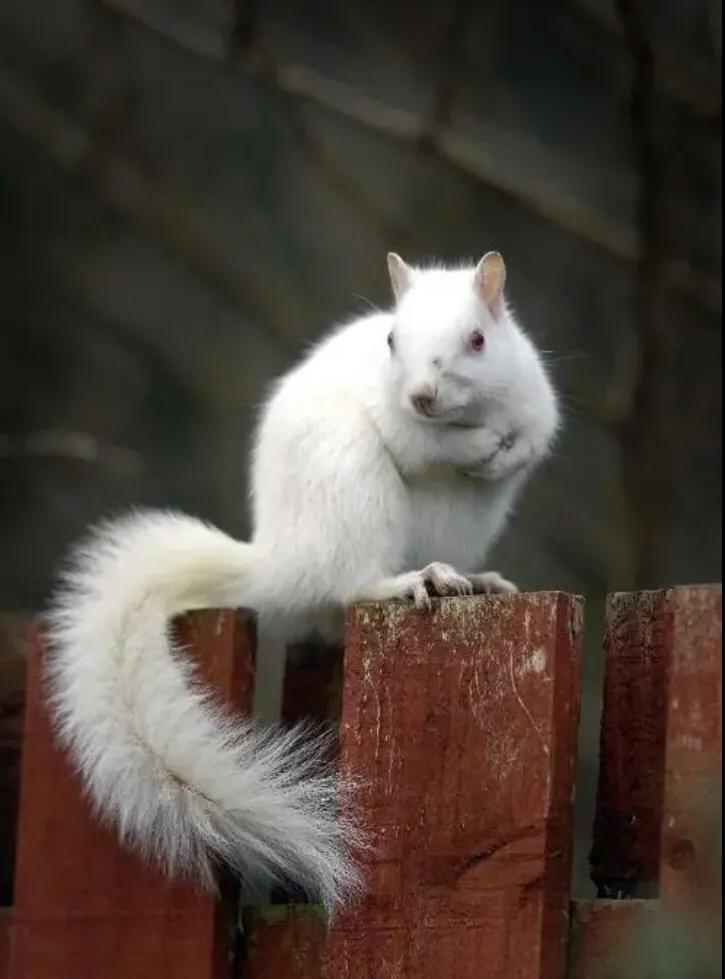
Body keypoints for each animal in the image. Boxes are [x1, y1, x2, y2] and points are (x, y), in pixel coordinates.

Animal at [46, 251, 559, 913]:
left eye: (478, 340)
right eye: (393, 341)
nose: (420, 395)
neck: (466, 412)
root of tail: (282, 563)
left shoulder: (535, 397)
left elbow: (533, 439)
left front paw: (504, 451)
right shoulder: (403, 423)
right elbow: (424, 447)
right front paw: (475, 446)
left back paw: (474, 576)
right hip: (350, 484)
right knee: (352, 582)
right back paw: (413, 579)